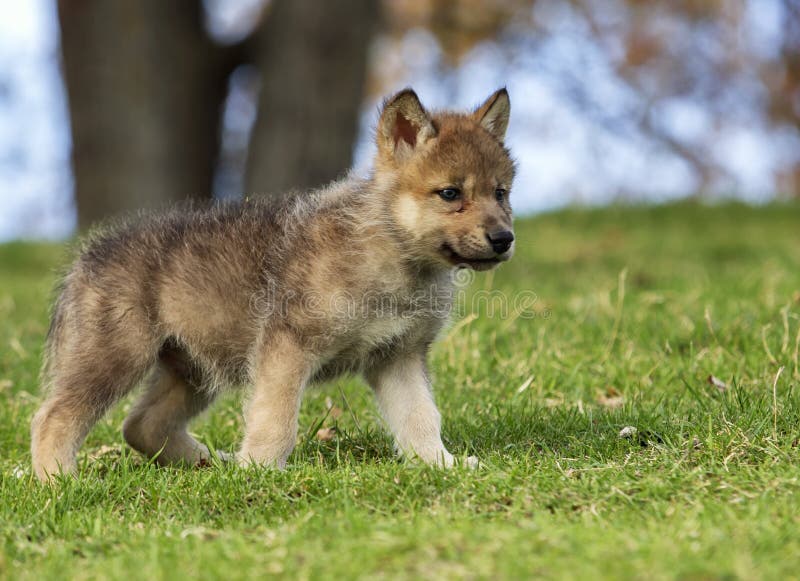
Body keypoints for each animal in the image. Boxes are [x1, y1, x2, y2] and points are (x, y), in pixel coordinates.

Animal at [30, 88, 516, 480]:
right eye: (450, 194)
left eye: (501, 193)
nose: (504, 238)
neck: (394, 255)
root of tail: (87, 255)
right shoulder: (287, 345)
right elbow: (276, 418)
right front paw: (261, 470)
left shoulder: (399, 357)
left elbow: (420, 417)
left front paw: (441, 463)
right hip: (117, 356)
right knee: (52, 416)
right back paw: (58, 481)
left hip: (192, 368)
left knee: (142, 425)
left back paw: (209, 462)